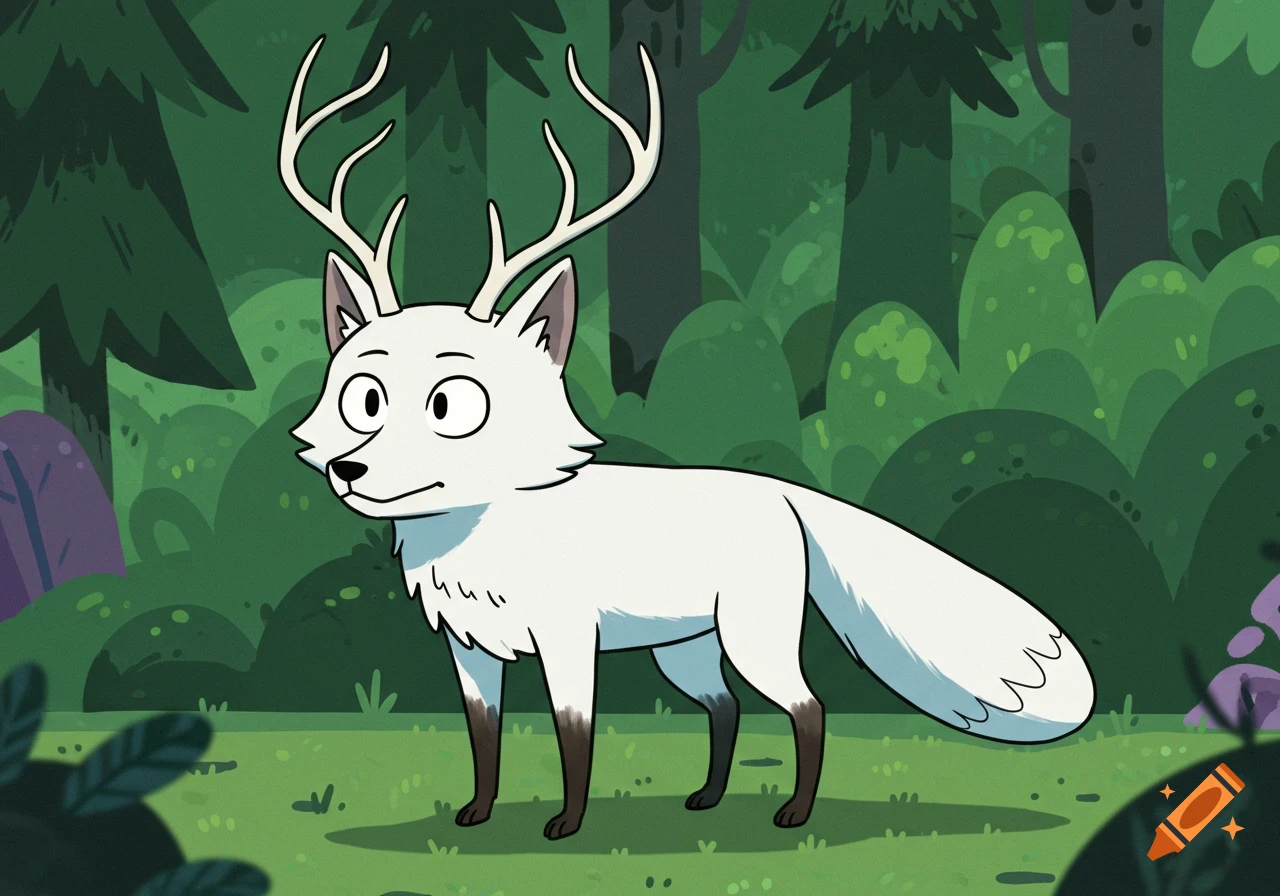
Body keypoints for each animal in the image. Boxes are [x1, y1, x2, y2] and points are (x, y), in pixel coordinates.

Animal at [279, 36, 1097, 841]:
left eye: (450, 404)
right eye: (365, 399)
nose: (350, 471)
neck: (481, 544)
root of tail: (786, 496)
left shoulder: (566, 637)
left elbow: (574, 732)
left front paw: (566, 826)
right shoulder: (470, 646)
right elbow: (485, 736)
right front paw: (476, 815)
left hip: (748, 636)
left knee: (807, 705)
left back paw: (794, 815)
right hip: (684, 650)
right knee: (727, 706)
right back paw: (705, 799)